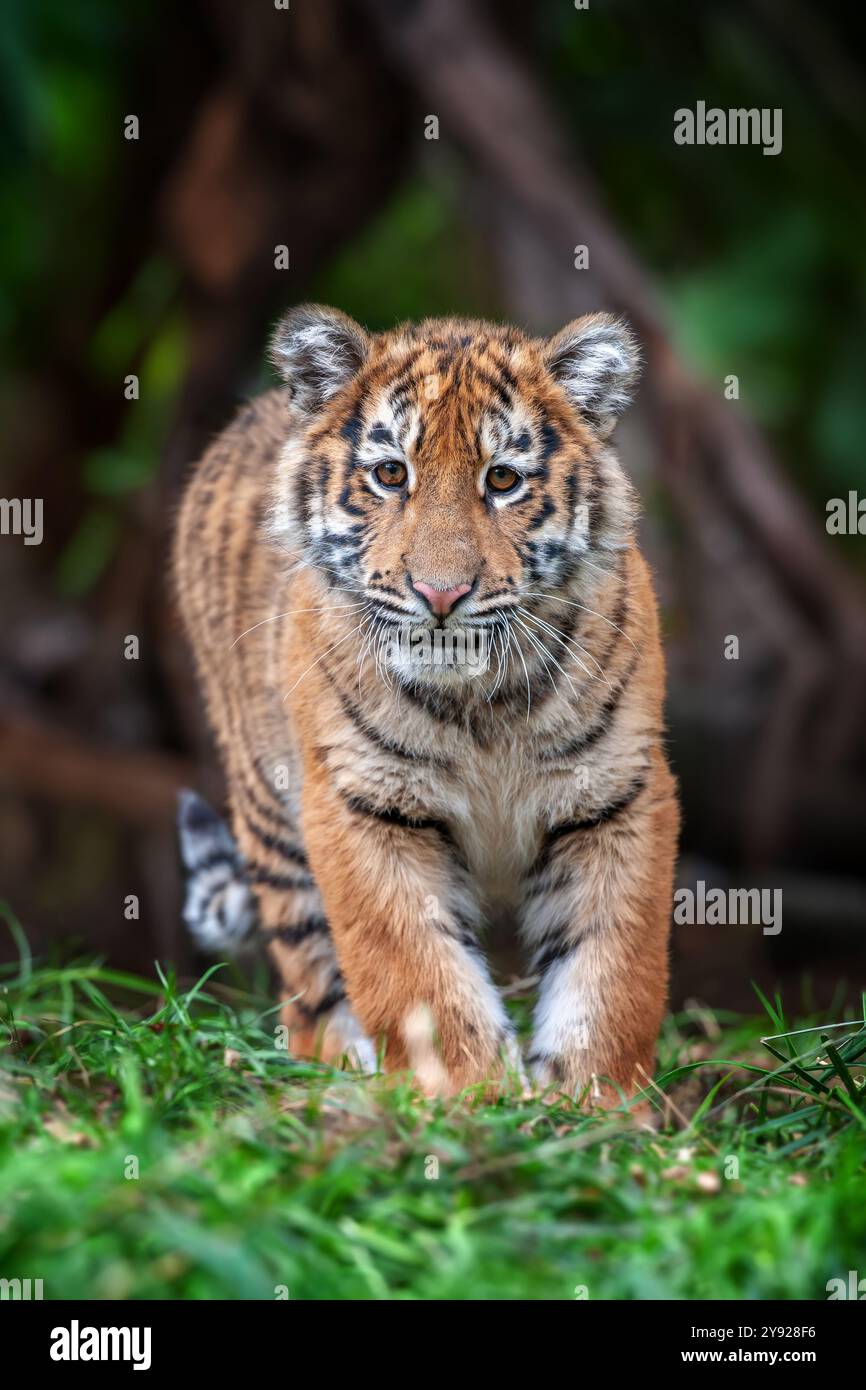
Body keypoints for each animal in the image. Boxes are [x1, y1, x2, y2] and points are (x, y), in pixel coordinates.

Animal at [173, 304, 680, 1104]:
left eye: (502, 479)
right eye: (390, 474)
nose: (441, 594)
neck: (483, 705)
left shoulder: (619, 794)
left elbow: (612, 973)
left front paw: (595, 1104)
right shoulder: (361, 803)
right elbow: (417, 972)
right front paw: (468, 1095)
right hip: (271, 814)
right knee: (307, 996)